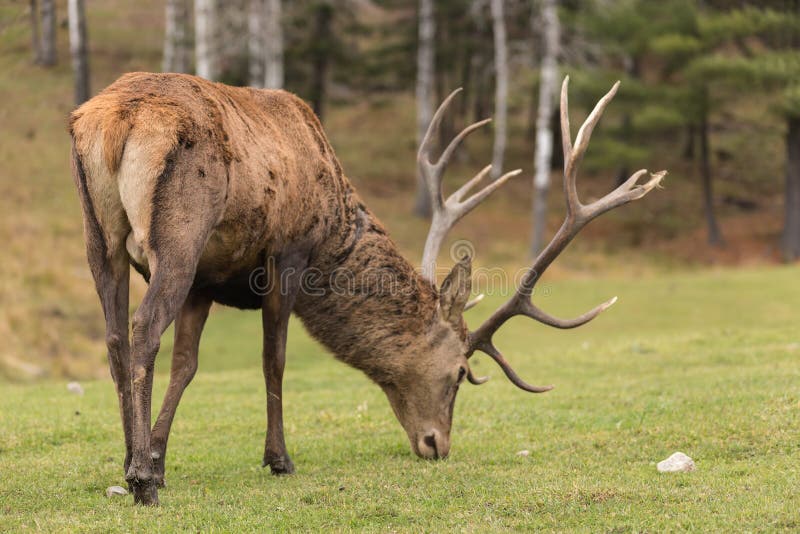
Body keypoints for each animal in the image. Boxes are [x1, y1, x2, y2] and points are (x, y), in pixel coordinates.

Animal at [69, 71, 664, 505]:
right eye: (460, 373)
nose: (437, 445)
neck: (333, 231)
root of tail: (115, 121)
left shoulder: (208, 279)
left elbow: (187, 366)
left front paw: (159, 457)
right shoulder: (286, 252)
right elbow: (273, 359)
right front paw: (278, 459)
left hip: (100, 237)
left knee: (115, 339)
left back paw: (131, 462)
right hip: (180, 234)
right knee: (144, 328)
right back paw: (141, 482)